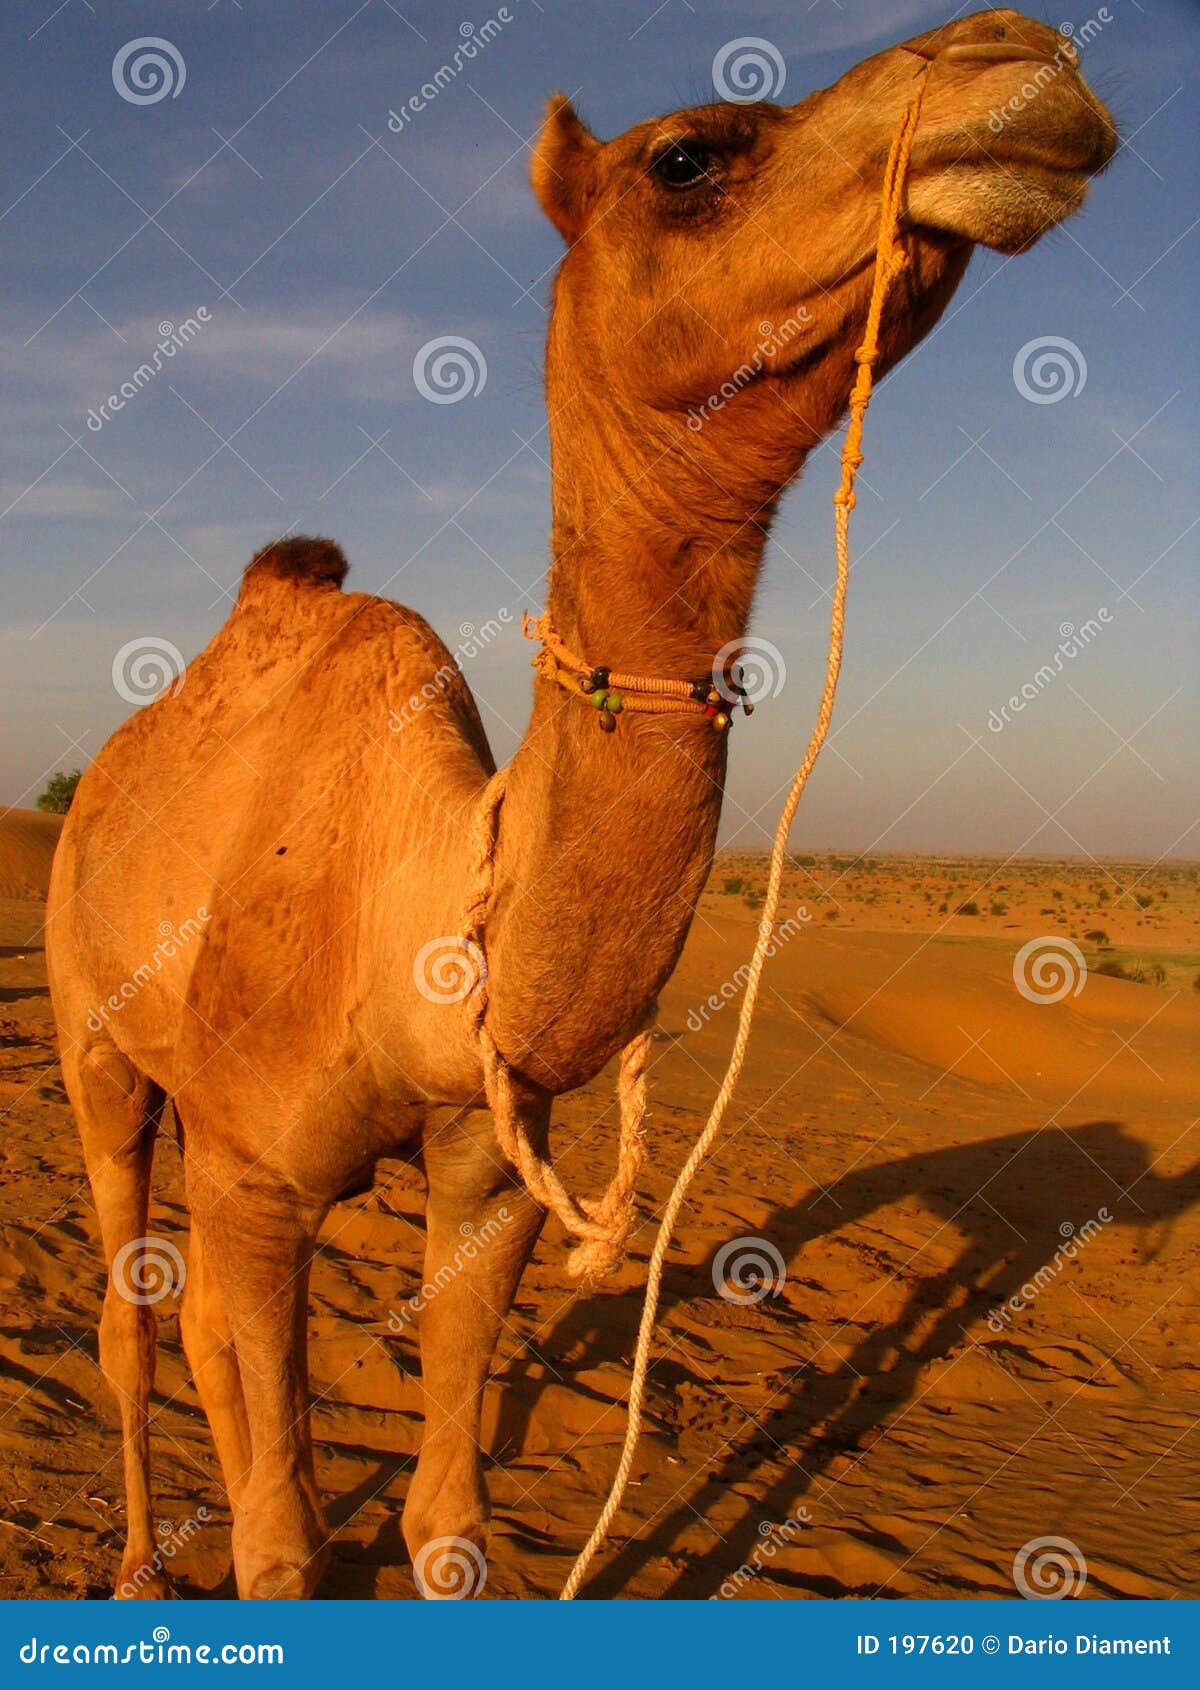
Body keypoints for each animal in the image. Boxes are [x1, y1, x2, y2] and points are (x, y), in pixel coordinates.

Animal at [46, 10, 1115, 1600]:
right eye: (685, 157)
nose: (1023, 54)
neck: (411, 929)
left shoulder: (486, 1177)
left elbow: (446, 1524)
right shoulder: (258, 1183)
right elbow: (286, 1546)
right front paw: (254, 1545)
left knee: (191, 1329)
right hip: (95, 1038)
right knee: (129, 1317)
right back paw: (132, 1568)